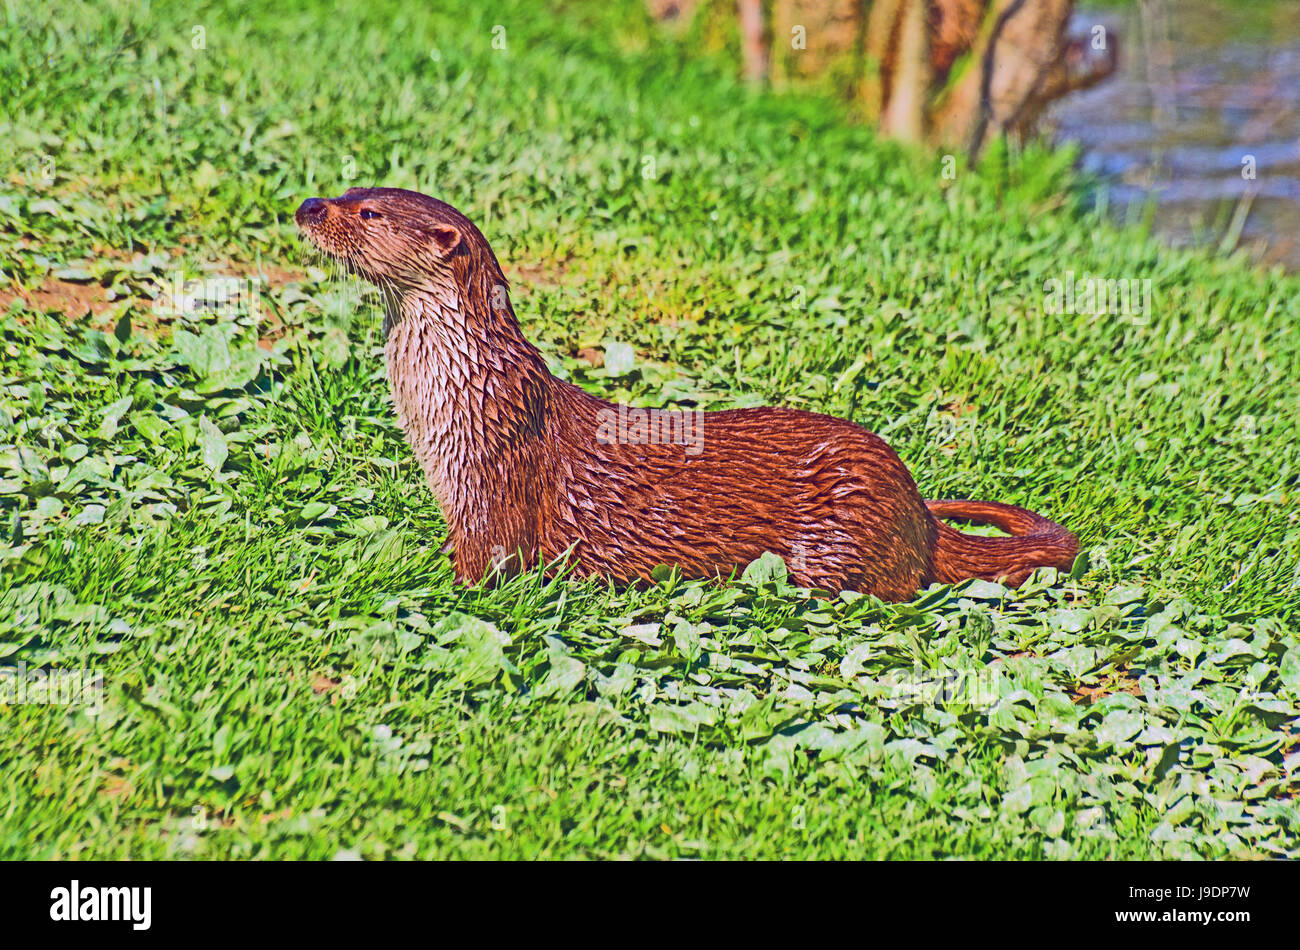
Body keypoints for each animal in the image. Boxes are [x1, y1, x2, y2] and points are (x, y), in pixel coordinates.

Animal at [295, 187, 1078, 601]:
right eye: (348, 191)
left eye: (366, 214)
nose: (307, 205)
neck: (470, 391)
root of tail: (916, 509)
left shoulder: (493, 487)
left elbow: (484, 567)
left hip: (842, 532)